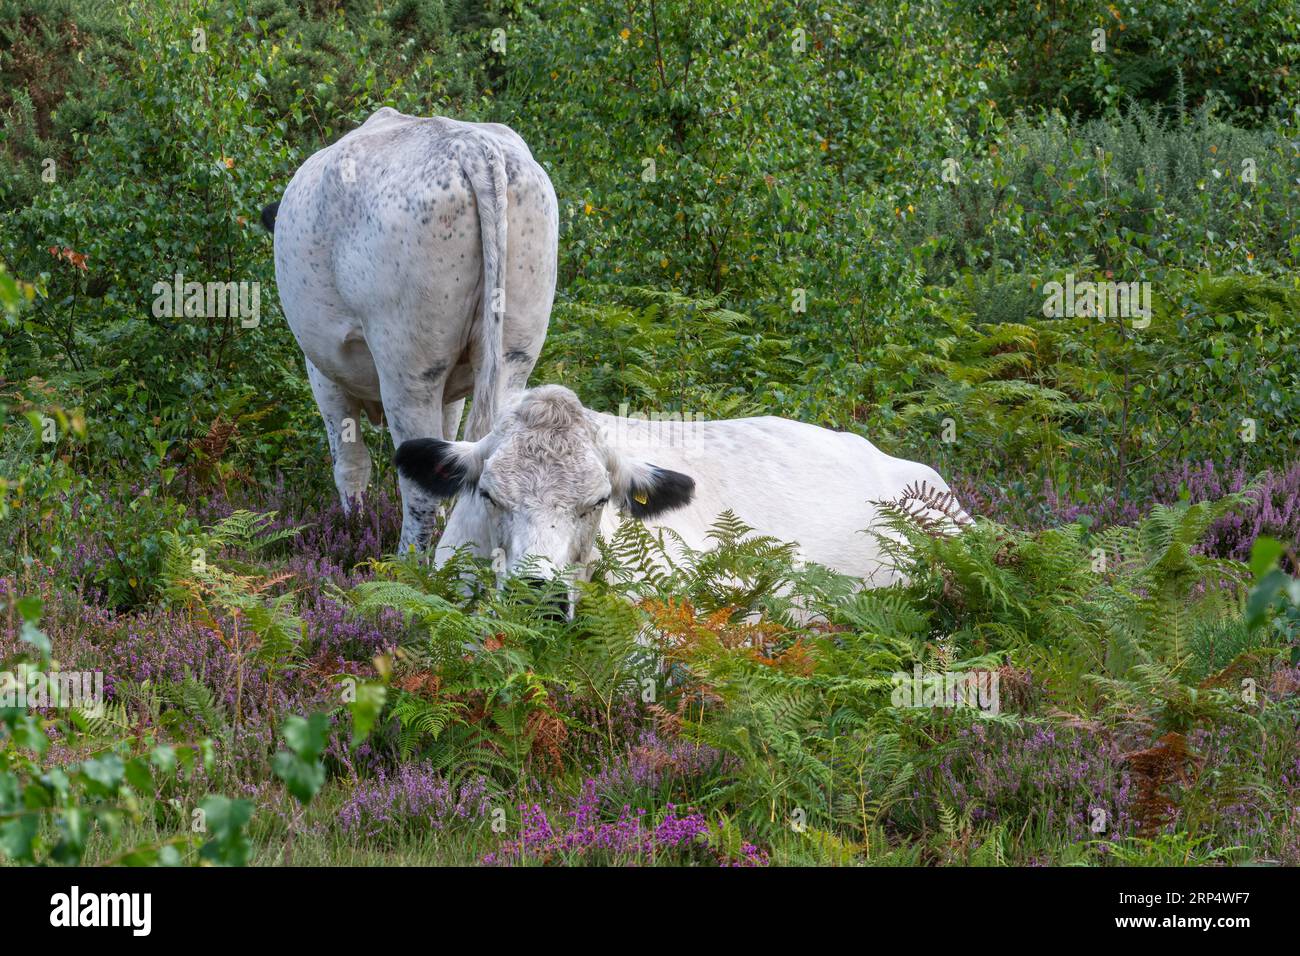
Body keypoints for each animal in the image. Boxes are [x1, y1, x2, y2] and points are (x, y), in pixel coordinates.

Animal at [264, 107, 559, 551]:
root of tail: (472, 145)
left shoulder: (322, 372)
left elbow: (350, 462)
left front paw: (353, 529)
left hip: (409, 373)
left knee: (420, 482)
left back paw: (405, 561)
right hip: (513, 356)